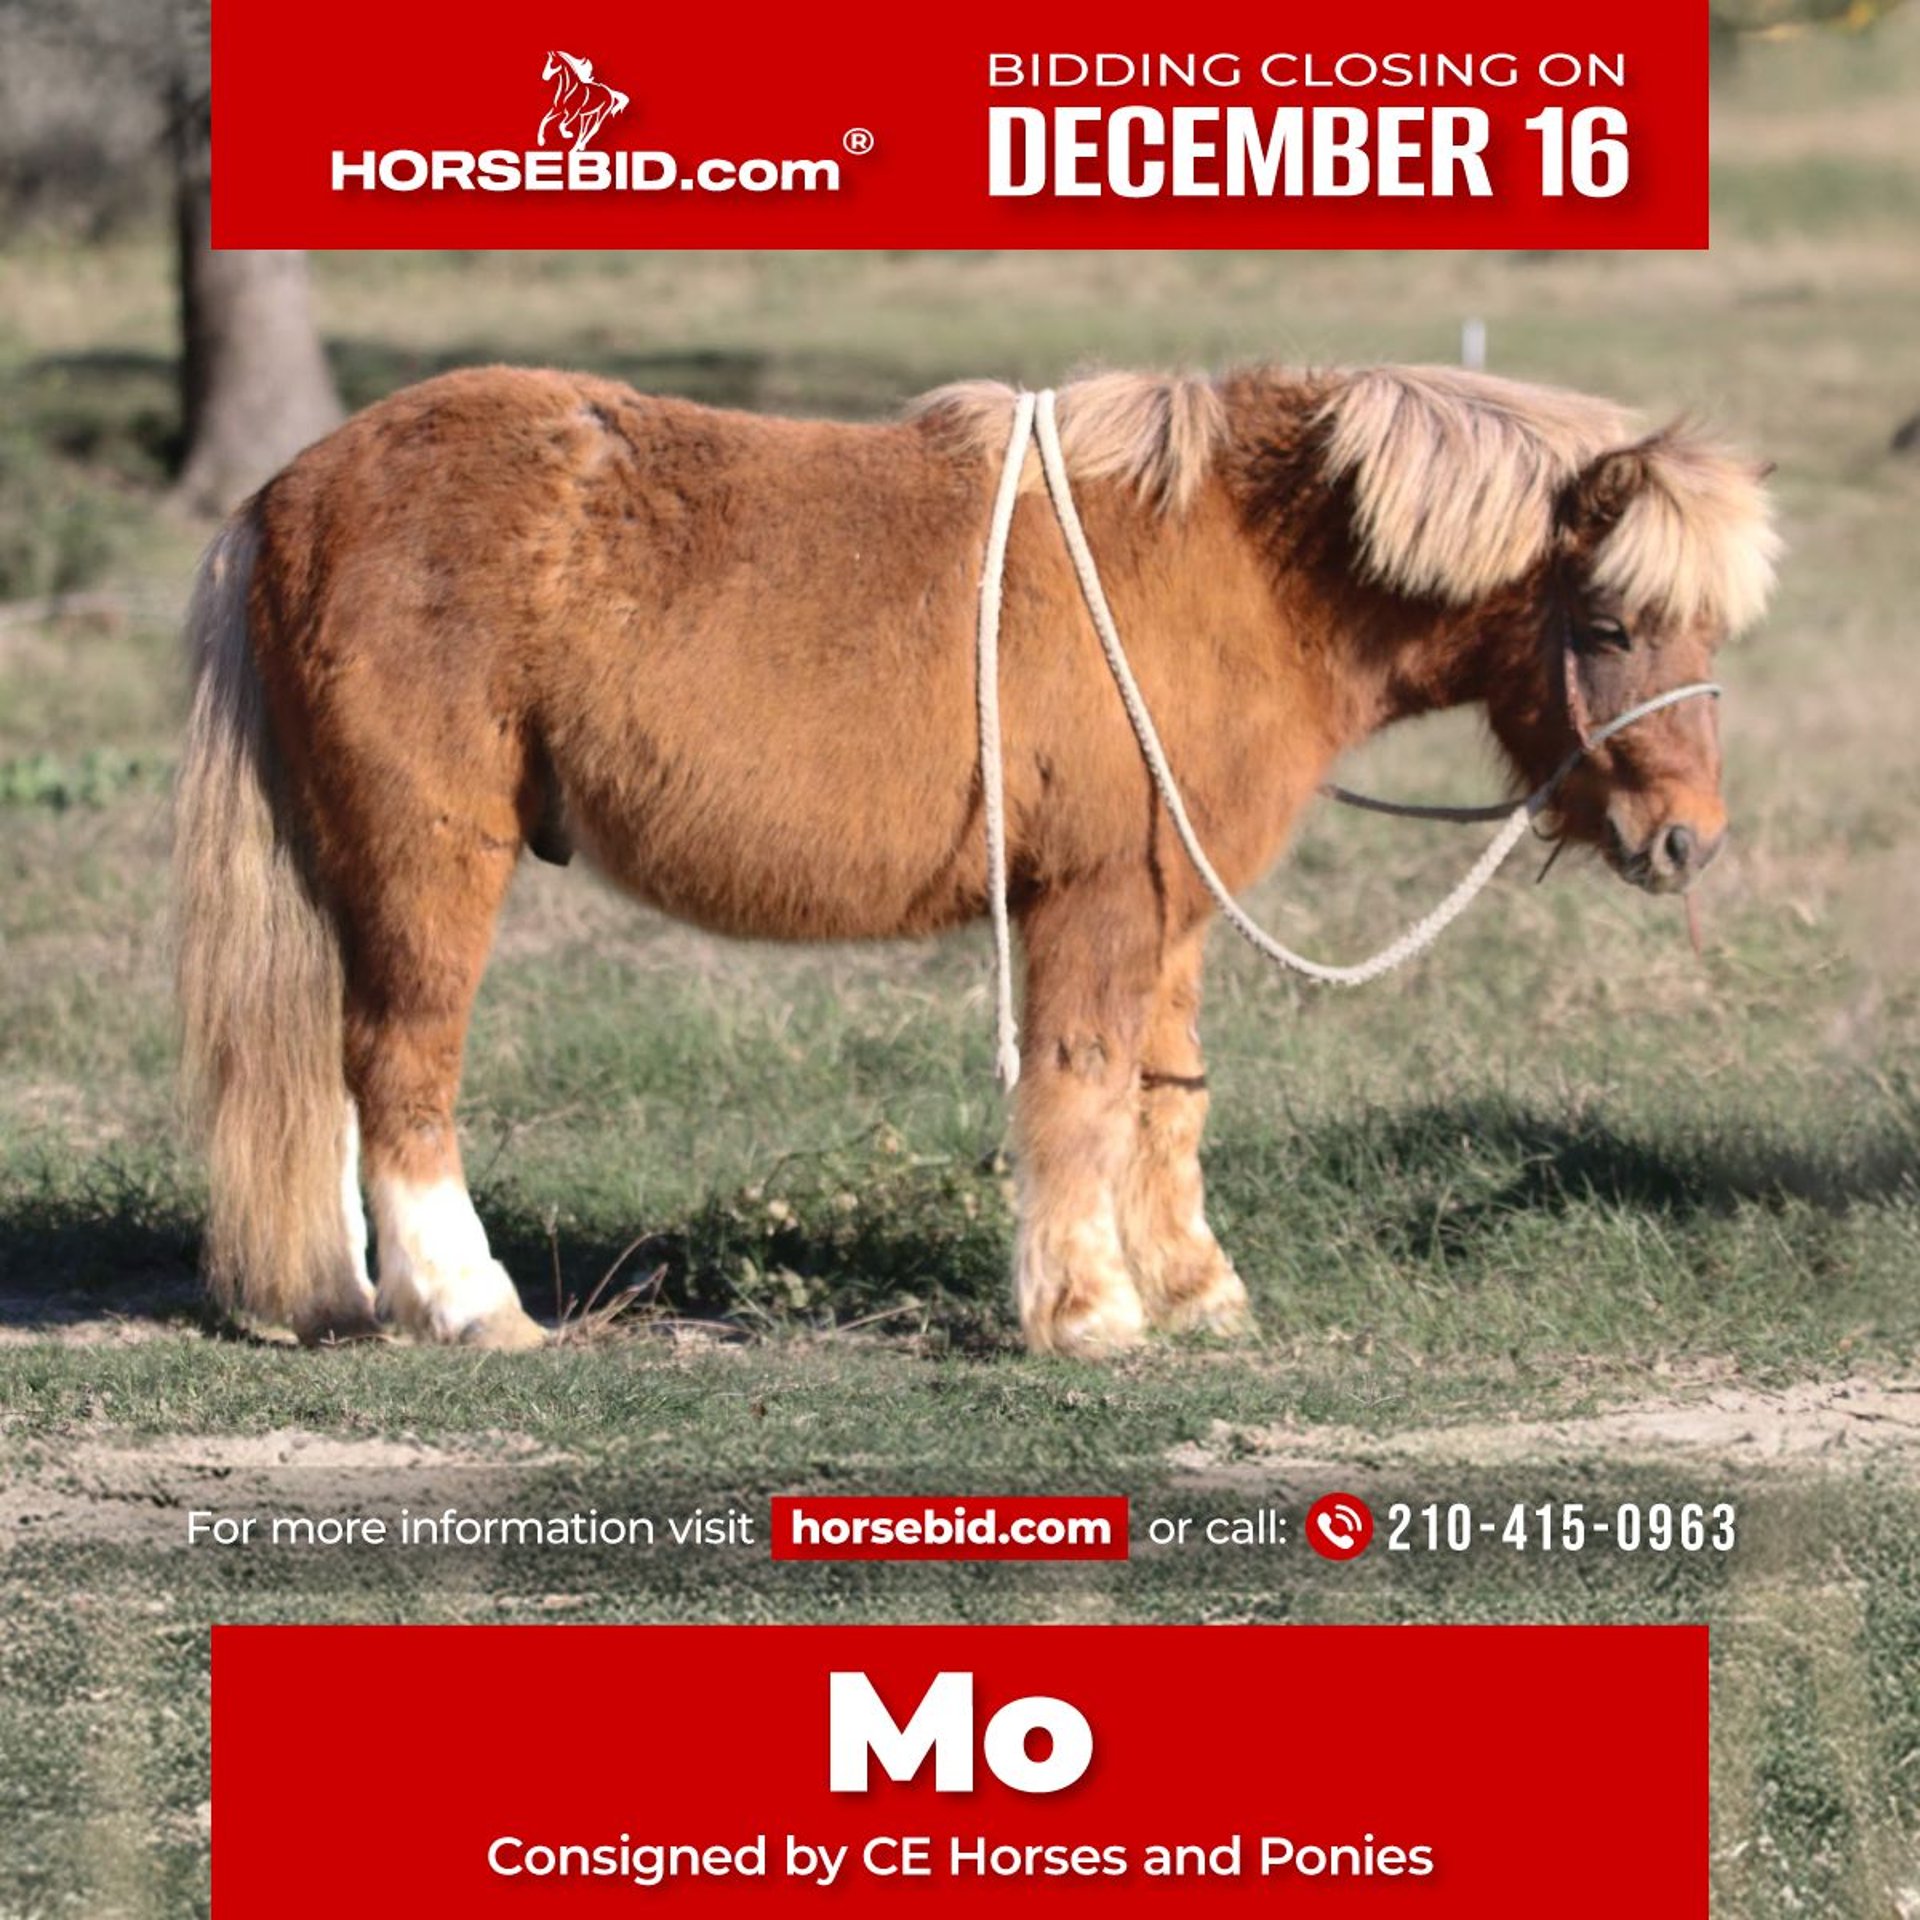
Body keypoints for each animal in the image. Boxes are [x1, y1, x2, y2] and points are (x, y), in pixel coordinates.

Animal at [173, 362, 1779, 1355]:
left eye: (1709, 628)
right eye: (1609, 624)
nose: (1686, 841)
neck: (1235, 571)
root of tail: (290, 495)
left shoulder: (1172, 914)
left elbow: (1164, 1099)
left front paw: (1191, 1290)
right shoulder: (1096, 906)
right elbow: (1079, 1091)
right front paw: (1088, 1311)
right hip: (433, 866)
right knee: (398, 1073)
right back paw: (468, 1304)